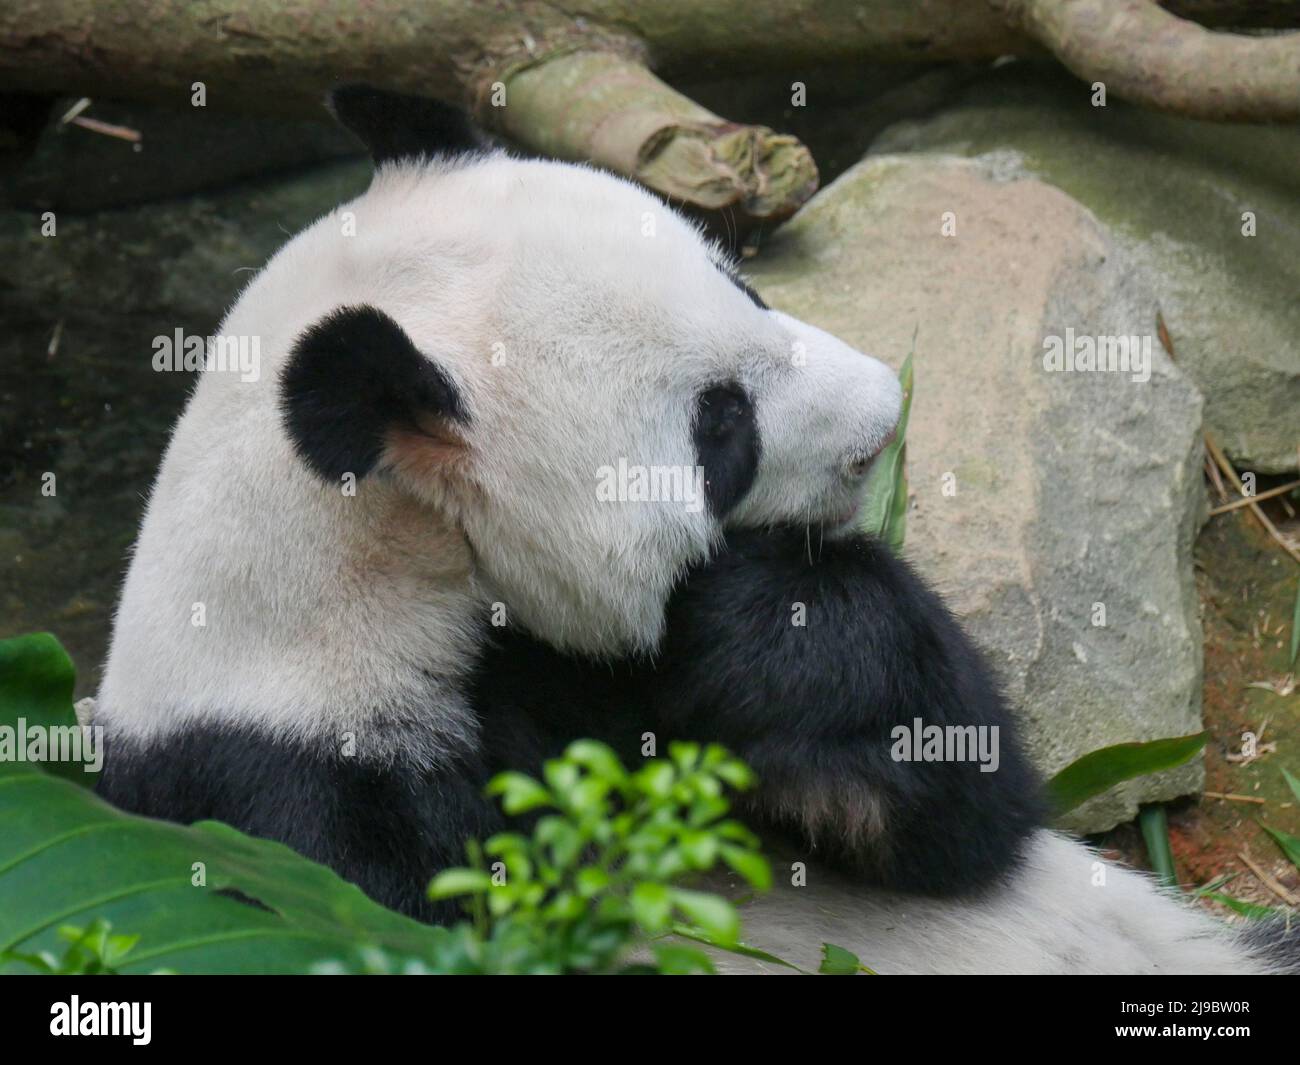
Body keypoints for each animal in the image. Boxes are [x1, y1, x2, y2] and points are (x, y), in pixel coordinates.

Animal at [95, 87, 1294, 974]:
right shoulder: (284, 809)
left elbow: (962, 822)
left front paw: (777, 634)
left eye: (744, 286)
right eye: (722, 429)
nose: (883, 428)